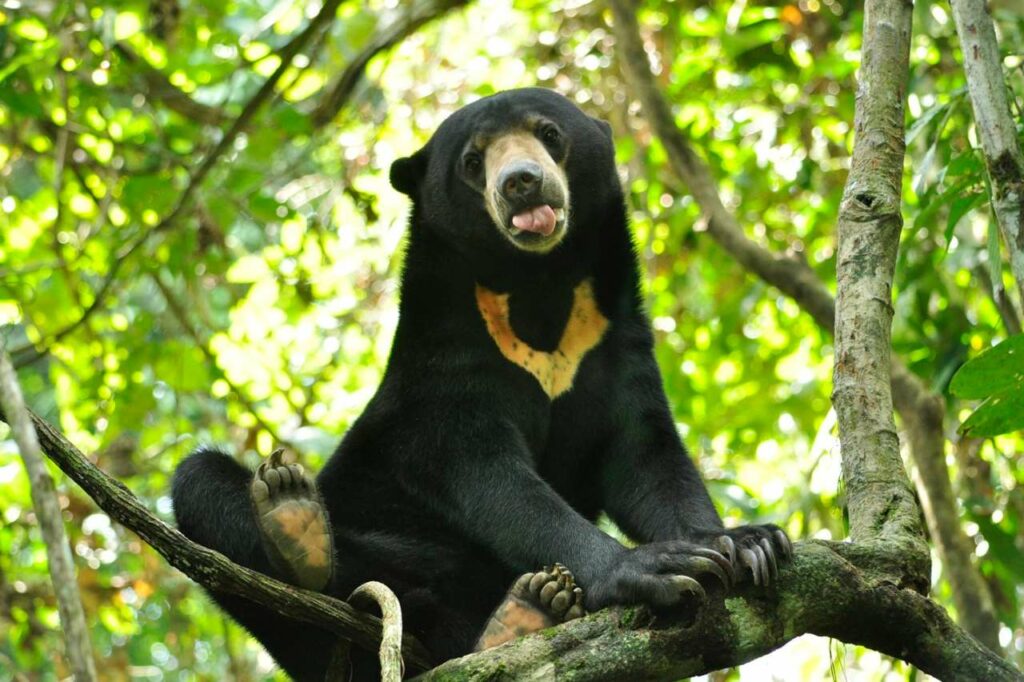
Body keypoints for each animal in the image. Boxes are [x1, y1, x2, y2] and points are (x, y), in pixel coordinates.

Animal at [171, 88, 791, 681]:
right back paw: (300, 525)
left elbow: (646, 457)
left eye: (549, 133)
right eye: (473, 161)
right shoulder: (449, 361)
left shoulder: (612, 343)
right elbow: (484, 474)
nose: (520, 183)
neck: (536, 283)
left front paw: (747, 543)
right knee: (205, 484)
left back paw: (529, 608)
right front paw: (653, 566)